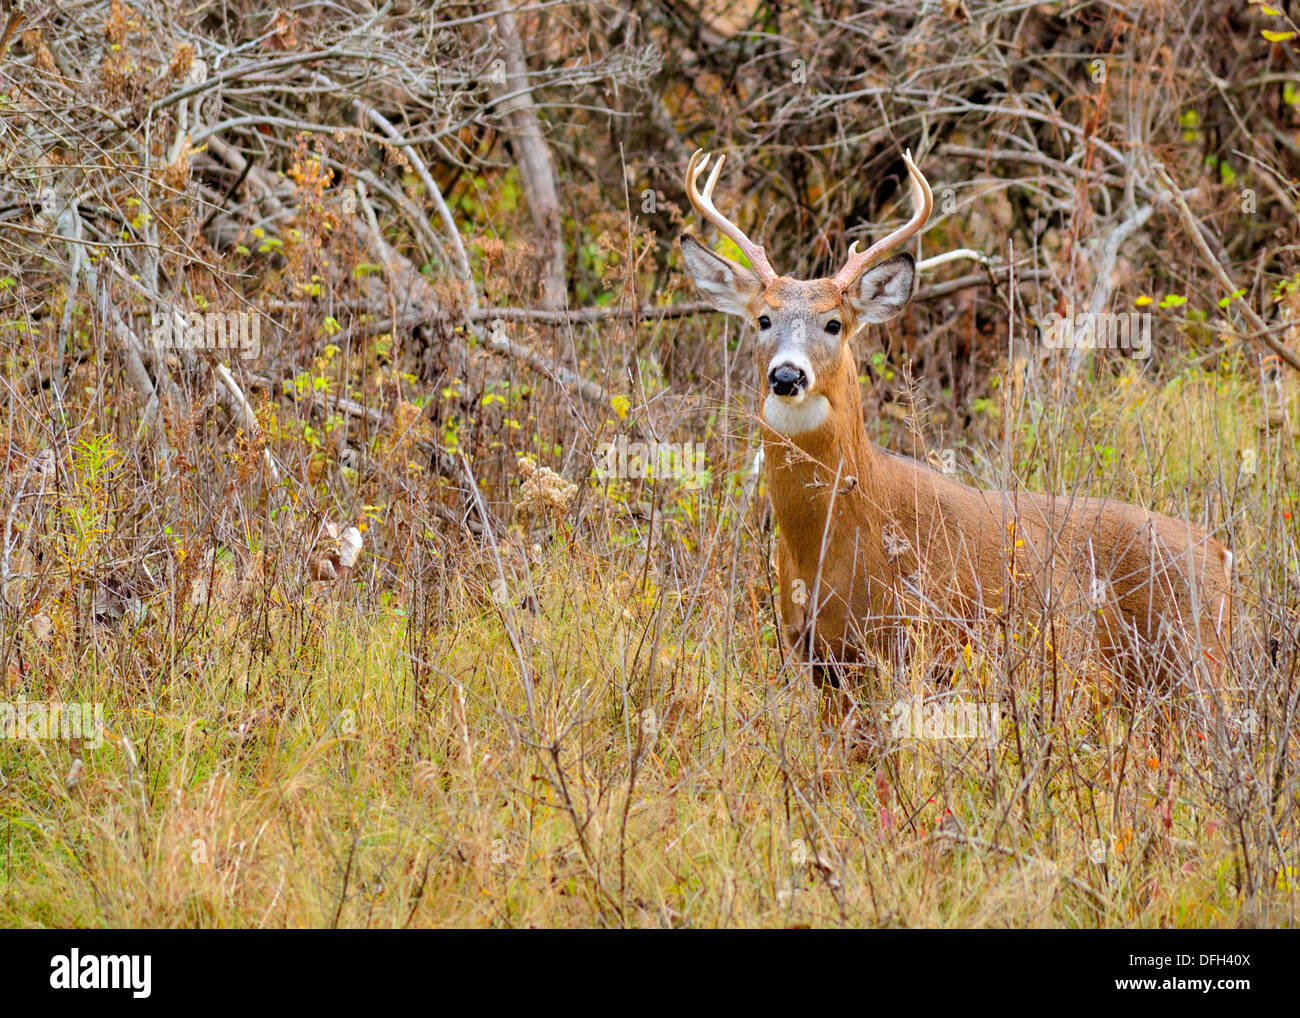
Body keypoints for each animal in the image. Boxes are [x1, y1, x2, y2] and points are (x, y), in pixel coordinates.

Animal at [678, 148, 1236, 726]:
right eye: (763, 319)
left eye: (834, 324)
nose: (787, 376)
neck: (841, 533)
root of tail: (1221, 554)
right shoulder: (821, 659)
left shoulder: (917, 642)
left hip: (1192, 661)